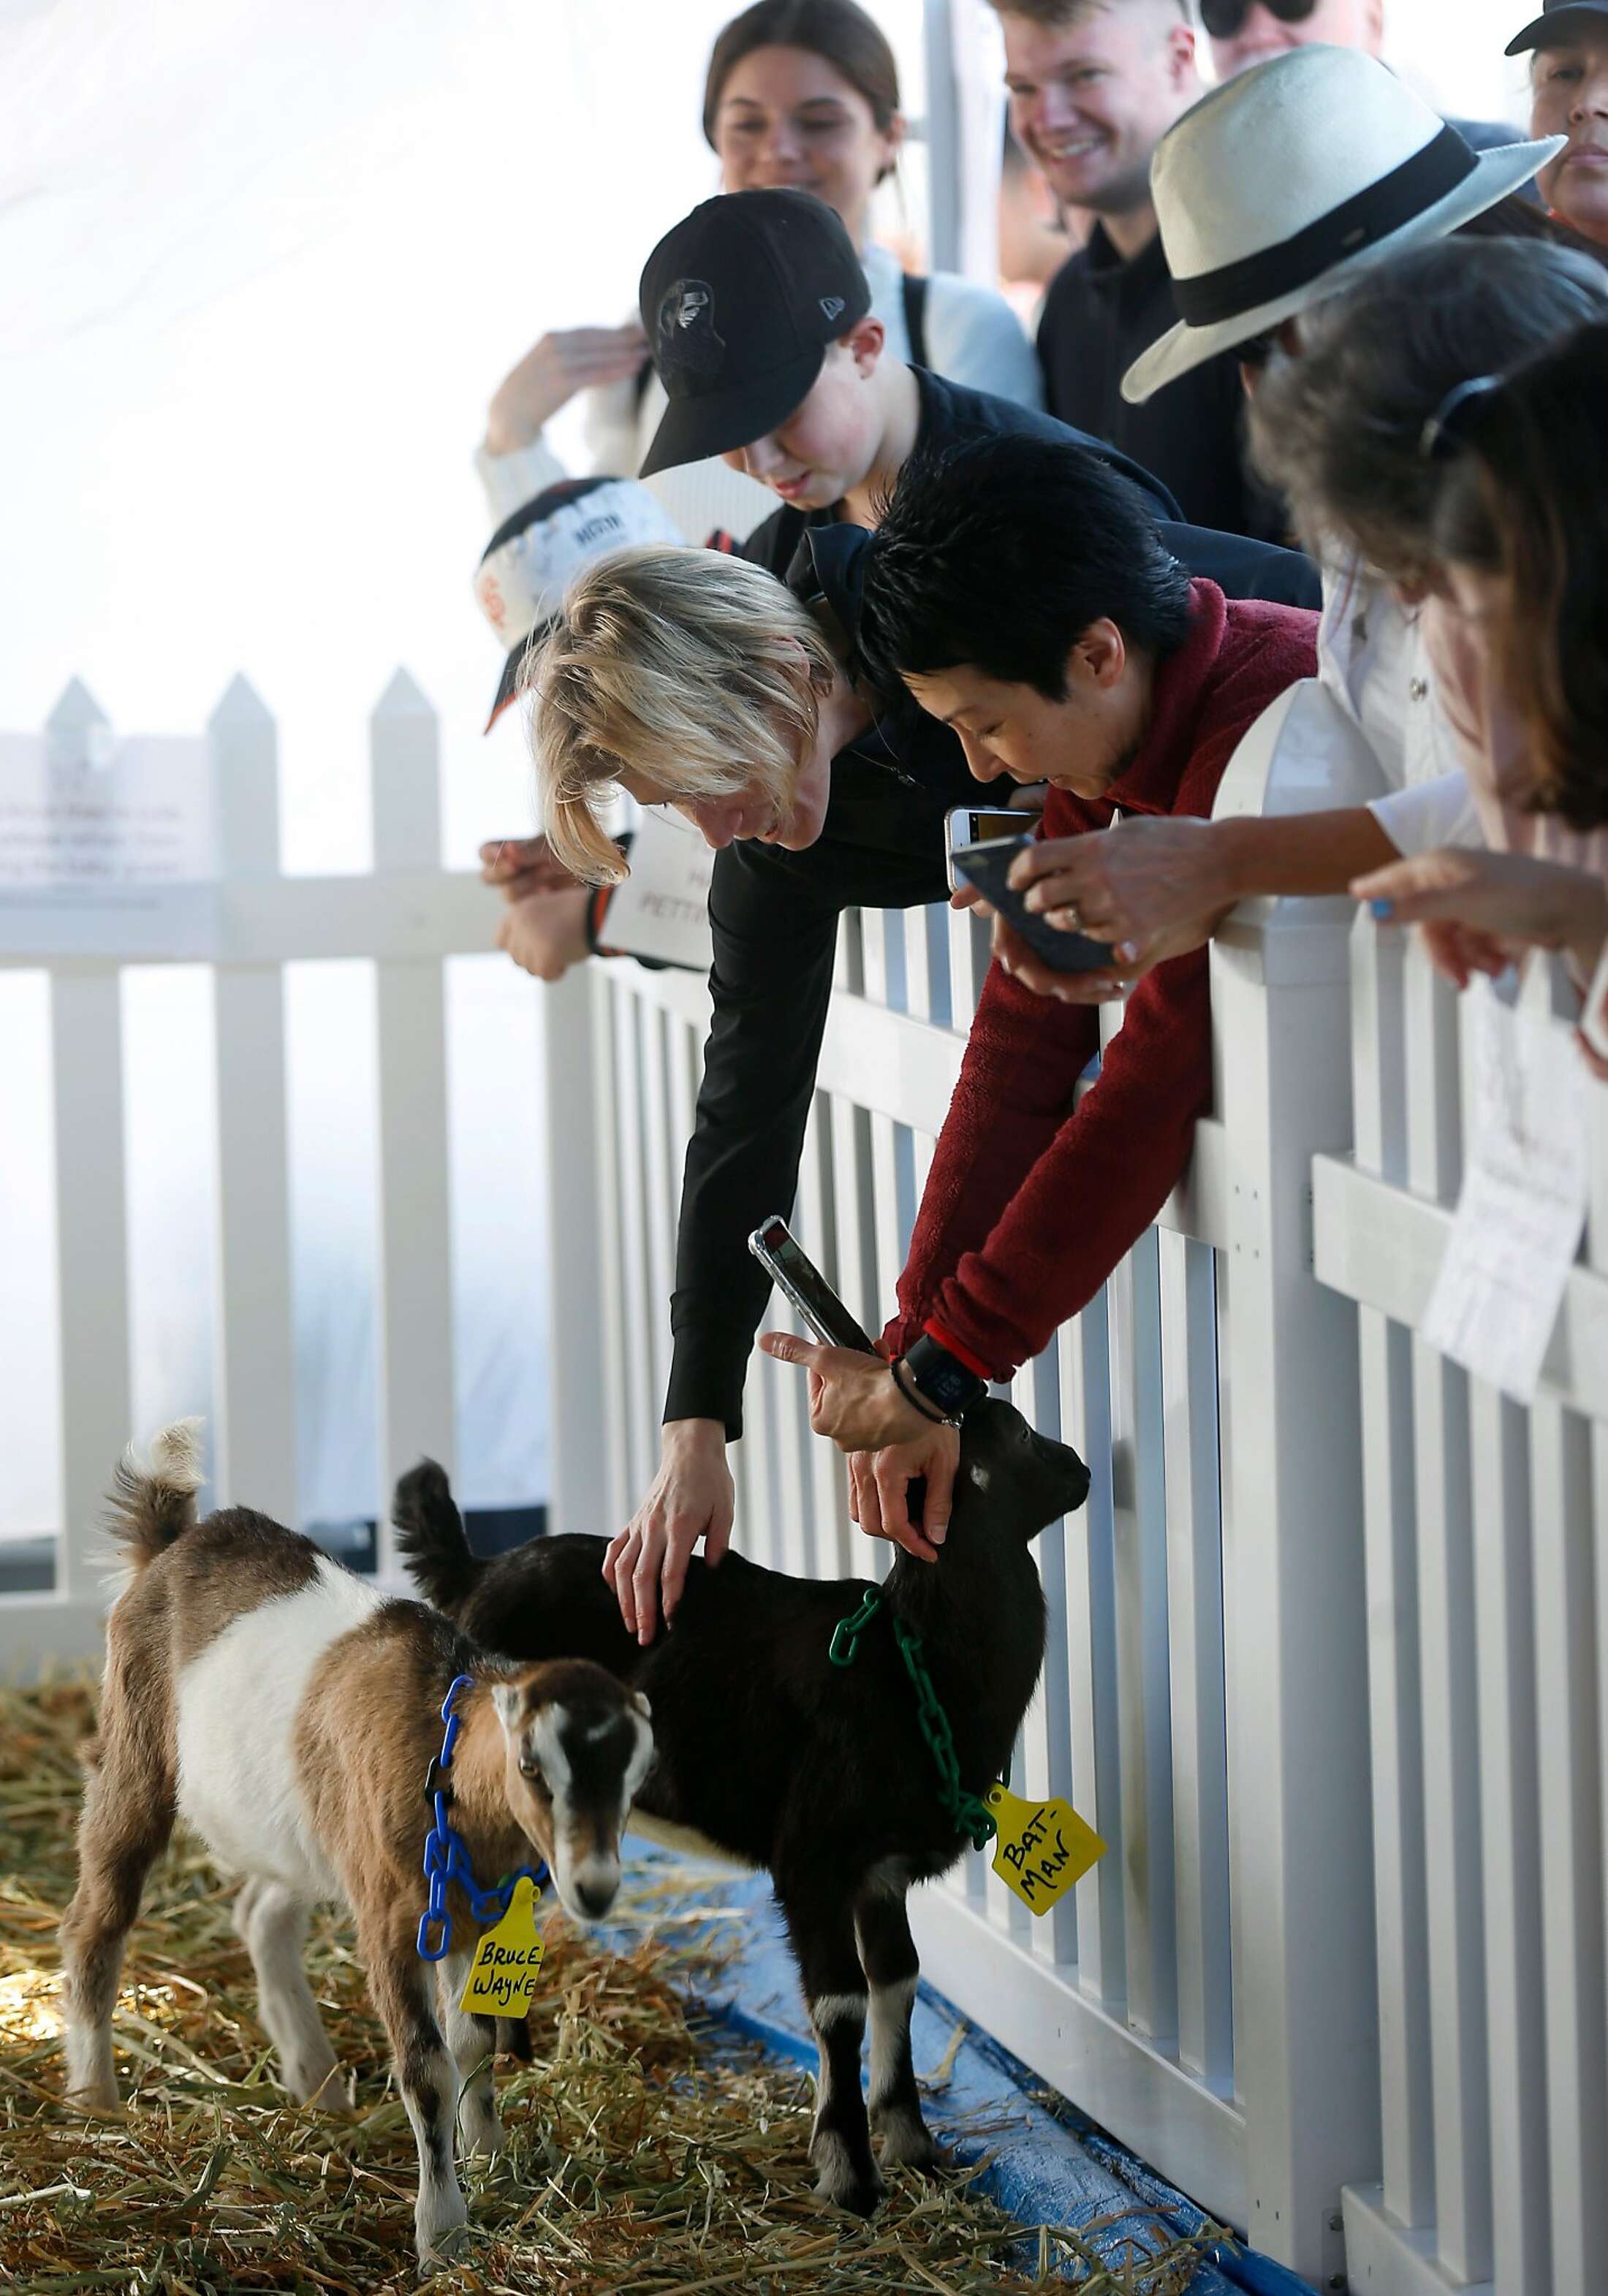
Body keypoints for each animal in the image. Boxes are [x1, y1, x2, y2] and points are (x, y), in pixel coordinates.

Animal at [59, 1421, 654, 2273]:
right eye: (533, 1768)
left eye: (638, 1775)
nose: (596, 1887)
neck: (445, 1759)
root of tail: (169, 1539)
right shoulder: (391, 1916)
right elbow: (428, 2066)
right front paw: (443, 2232)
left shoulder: (472, 1912)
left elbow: (475, 2040)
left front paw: (490, 2156)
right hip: (134, 1753)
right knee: (97, 1922)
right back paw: (96, 2101)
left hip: (298, 1826)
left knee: (262, 1914)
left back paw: (318, 2083)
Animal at [394, 1395, 1088, 2217]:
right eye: (1015, 1432)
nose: (1082, 1467)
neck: (910, 1655)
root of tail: (477, 1575)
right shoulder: (814, 1859)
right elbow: (841, 2003)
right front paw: (850, 2173)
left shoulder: (880, 1872)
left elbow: (899, 1981)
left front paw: (913, 2142)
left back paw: (517, 2052)